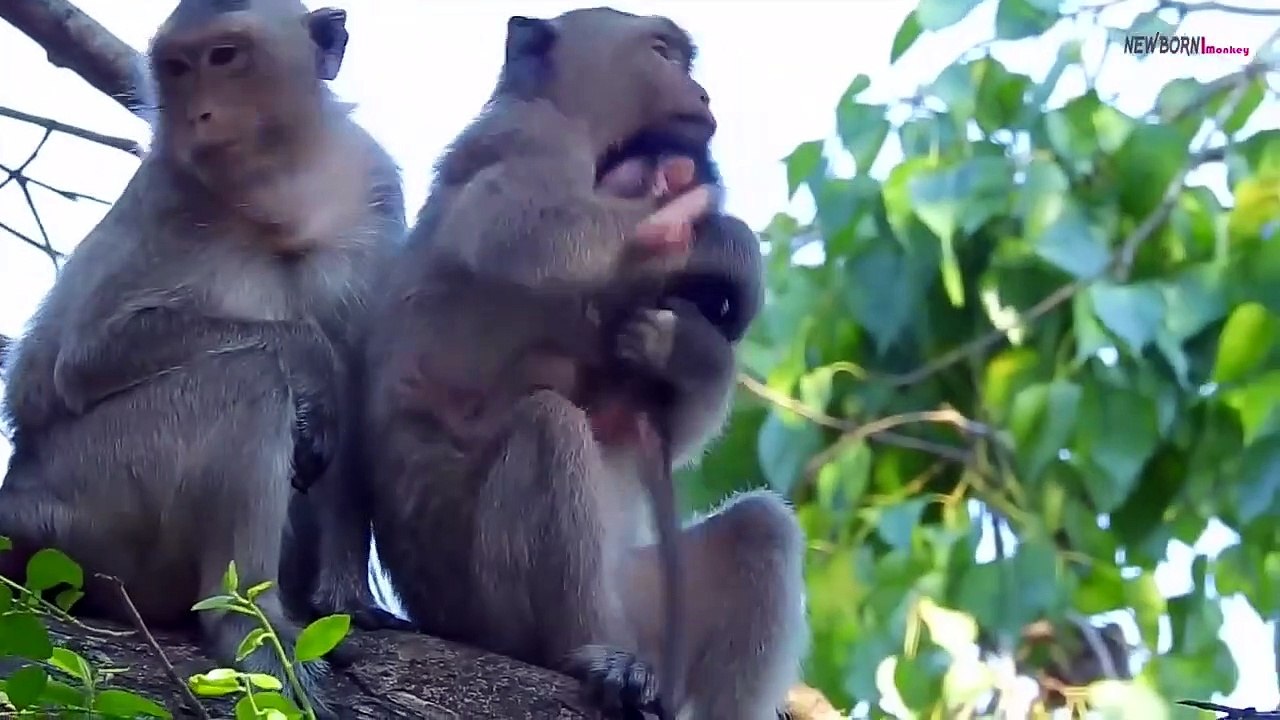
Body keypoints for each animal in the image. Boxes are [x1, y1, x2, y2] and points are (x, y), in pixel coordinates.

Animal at [0, 0, 405, 713]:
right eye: (177, 68)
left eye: (225, 57)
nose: (200, 116)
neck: (281, 207)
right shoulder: (166, 196)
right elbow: (82, 361)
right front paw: (312, 358)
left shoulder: (376, 195)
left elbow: (359, 388)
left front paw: (347, 598)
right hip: (88, 499)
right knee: (246, 376)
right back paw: (248, 624)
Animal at [361, 8, 808, 719]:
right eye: (662, 52)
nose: (703, 95)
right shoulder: (525, 138)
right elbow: (523, 225)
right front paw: (714, 235)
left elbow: (672, 431)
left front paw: (681, 344)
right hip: (486, 608)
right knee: (550, 426)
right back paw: (596, 659)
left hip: (647, 601)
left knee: (761, 528)